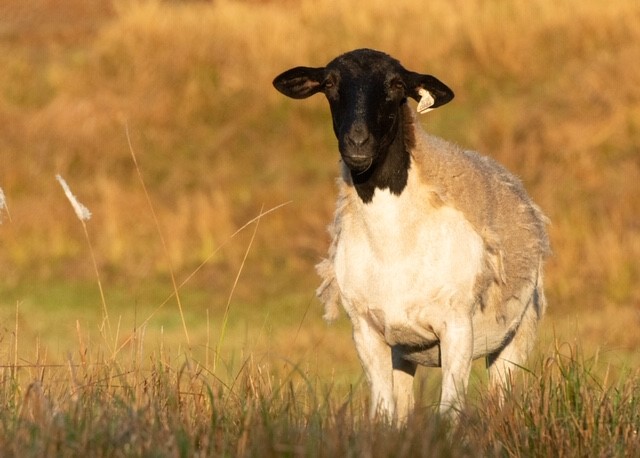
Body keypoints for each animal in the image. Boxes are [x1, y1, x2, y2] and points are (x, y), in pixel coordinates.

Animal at [273, 49, 550, 422]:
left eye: (397, 84)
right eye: (329, 83)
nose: (357, 143)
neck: (393, 246)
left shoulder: (457, 328)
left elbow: (450, 413)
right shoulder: (366, 331)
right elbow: (384, 414)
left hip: (516, 335)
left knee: (500, 399)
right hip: (402, 352)